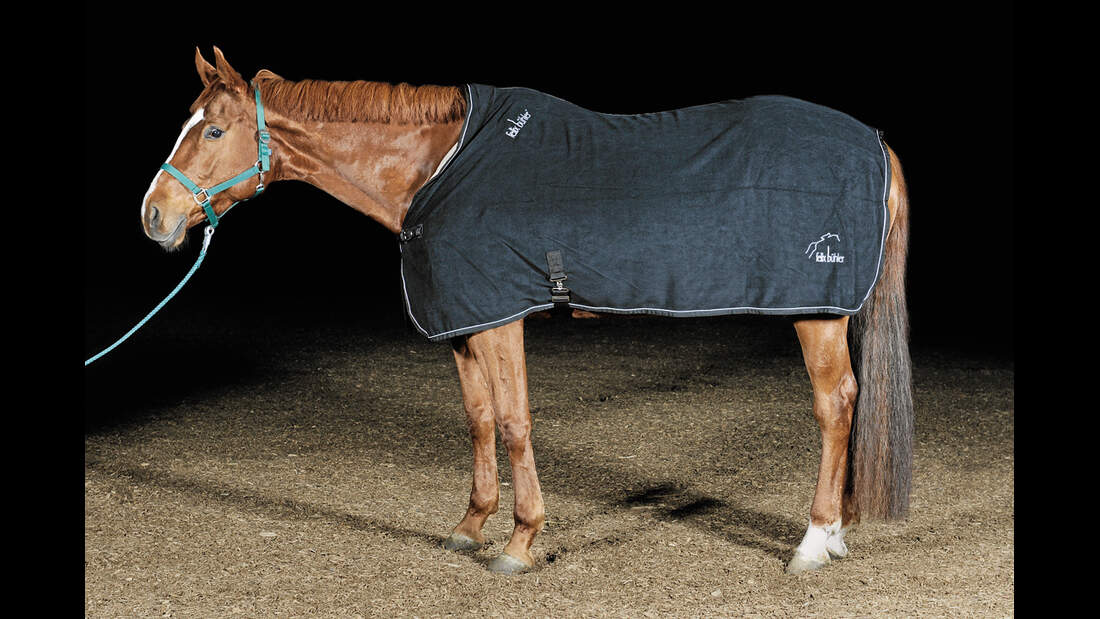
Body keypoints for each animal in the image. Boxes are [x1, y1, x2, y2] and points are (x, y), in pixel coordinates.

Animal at [140, 47, 913, 575]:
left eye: (212, 133)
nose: (154, 217)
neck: (439, 166)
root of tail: (875, 142)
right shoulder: (464, 323)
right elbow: (480, 421)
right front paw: (471, 523)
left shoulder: (501, 318)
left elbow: (514, 424)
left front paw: (519, 539)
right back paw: (836, 532)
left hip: (818, 311)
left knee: (835, 405)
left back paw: (814, 538)